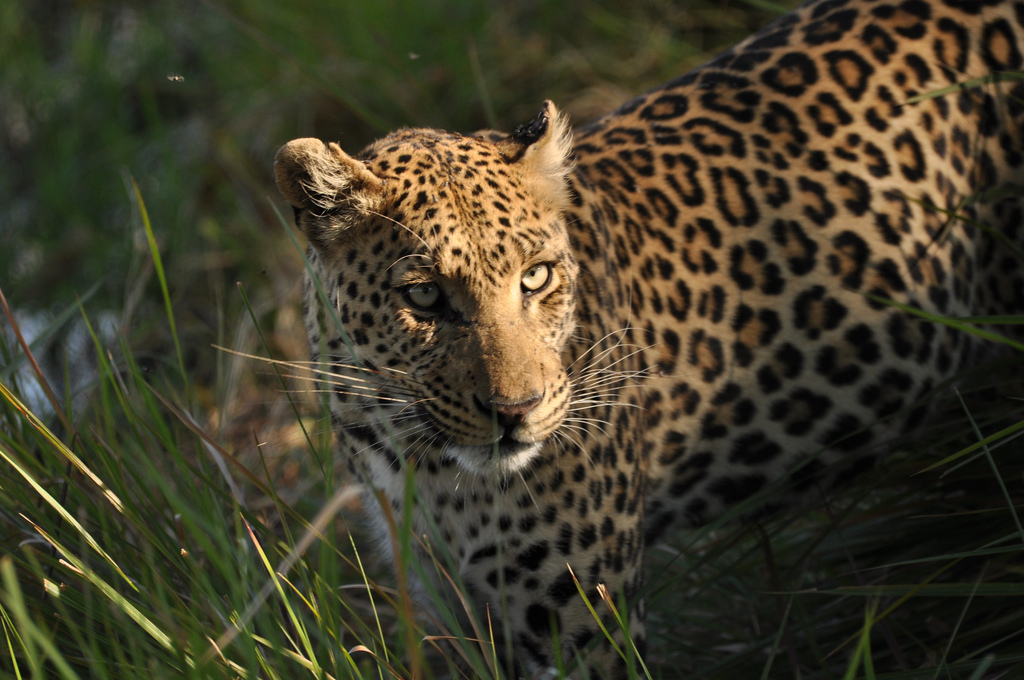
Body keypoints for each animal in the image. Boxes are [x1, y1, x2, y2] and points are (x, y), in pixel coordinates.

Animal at [273, 0, 1024, 675]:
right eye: (424, 297)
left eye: (536, 276)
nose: (517, 411)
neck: (420, 459)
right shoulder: (449, 608)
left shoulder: (581, 623)